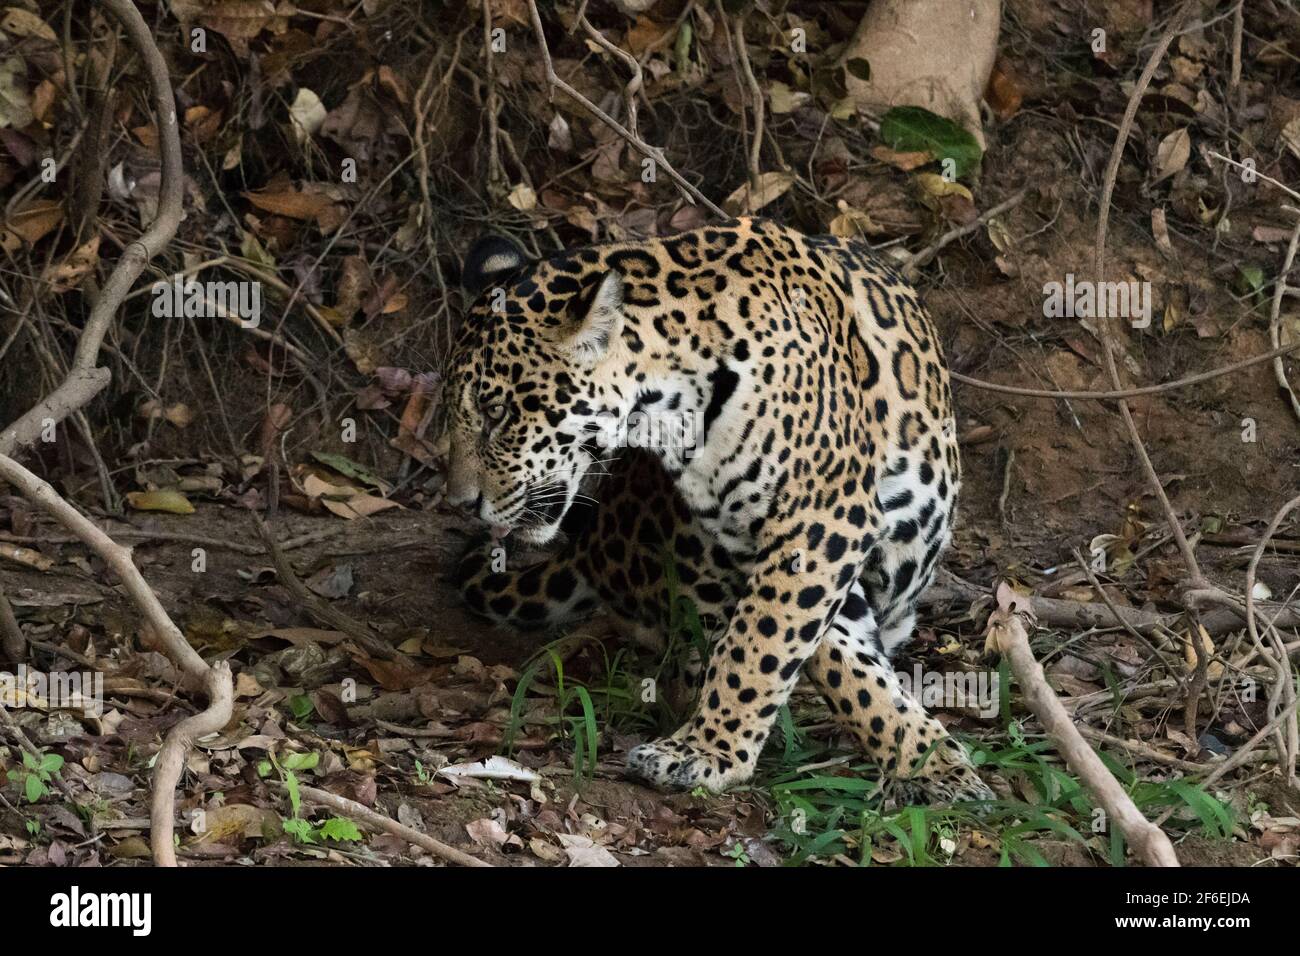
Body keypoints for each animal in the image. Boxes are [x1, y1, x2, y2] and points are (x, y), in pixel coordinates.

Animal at [439, 217, 993, 804]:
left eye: (497, 412)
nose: (461, 502)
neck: (670, 402)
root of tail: (595, 546)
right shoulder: (756, 537)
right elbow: (826, 657)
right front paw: (923, 756)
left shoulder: (821, 518)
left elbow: (762, 643)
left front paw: (706, 751)